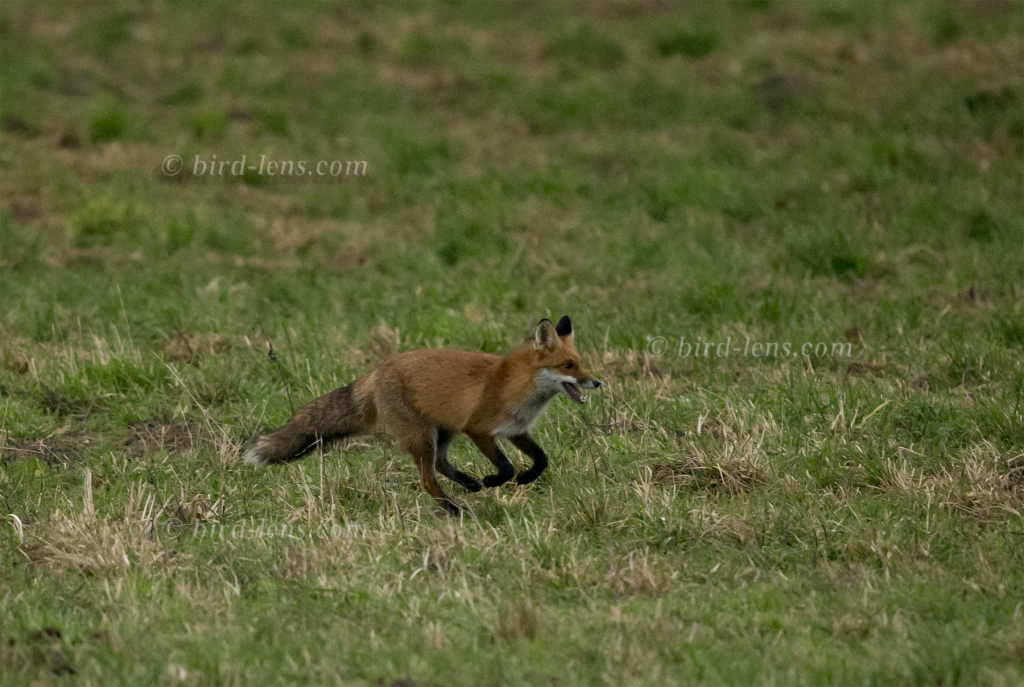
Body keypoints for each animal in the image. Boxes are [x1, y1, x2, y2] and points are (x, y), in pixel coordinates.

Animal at [245, 316, 601, 515]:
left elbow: (542, 459)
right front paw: (495, 480)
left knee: (440, 464)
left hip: (442, 431)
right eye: (568, 366)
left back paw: (468, 485)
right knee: (428, 479)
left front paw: (524, 478)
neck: (518, 387)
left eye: (581, 363)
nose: (596, 382)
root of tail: (377, 370)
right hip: (424, 436)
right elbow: (505, 465)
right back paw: (457, 510)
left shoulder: (515, 430)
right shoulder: (478, 429)